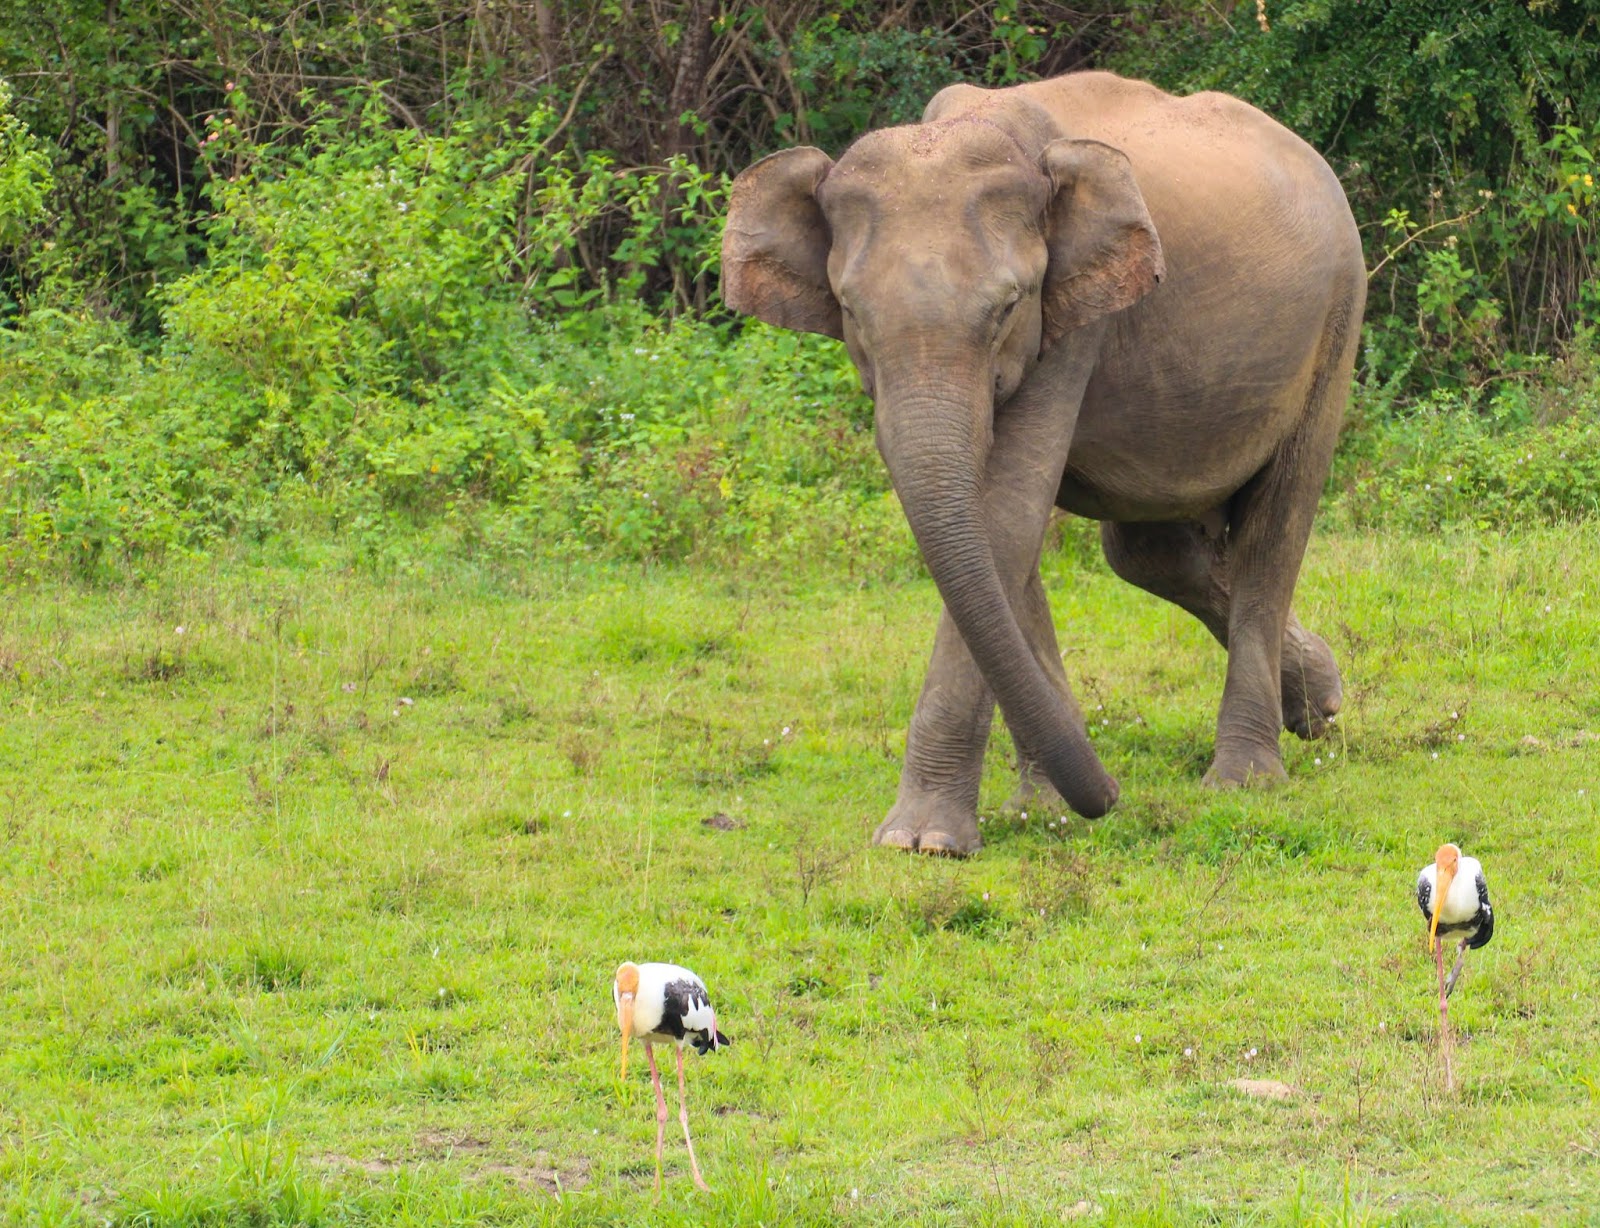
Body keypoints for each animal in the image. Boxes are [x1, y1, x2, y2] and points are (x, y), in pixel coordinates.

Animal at [721, 70, 1365, 855]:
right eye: (850, 310)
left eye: (1007, 307)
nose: (1111, 795)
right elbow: (997, 528)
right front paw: (1040, 808)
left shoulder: (1072, 325)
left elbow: (1007, 513)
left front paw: (923, 841)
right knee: (1151, 552)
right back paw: (1320, 700)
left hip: (1336, 320)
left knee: (1276, 526)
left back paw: (1246, 779)